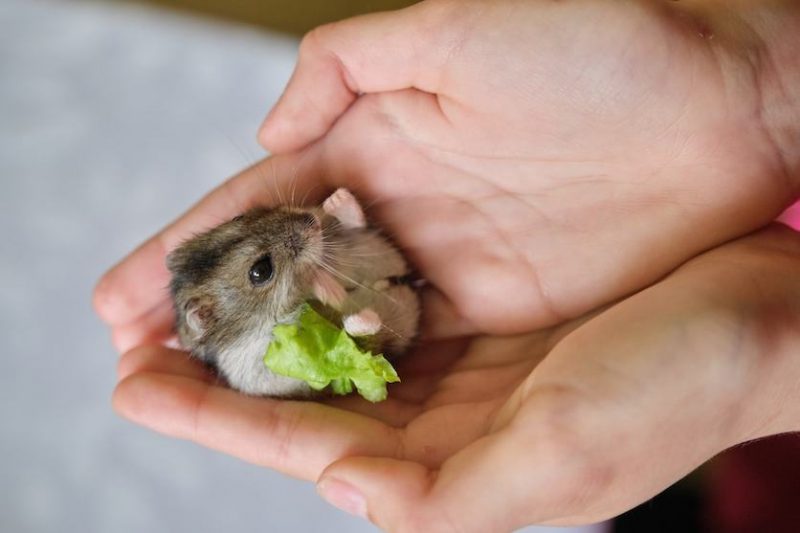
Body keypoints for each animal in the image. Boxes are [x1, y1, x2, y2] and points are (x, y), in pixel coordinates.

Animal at [166, 188, 420, 398]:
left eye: (238, 217)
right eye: (260, 271)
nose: (311, 219)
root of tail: (405, 282)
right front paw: (320, 282)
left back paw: (338, 200)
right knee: (360, 332)